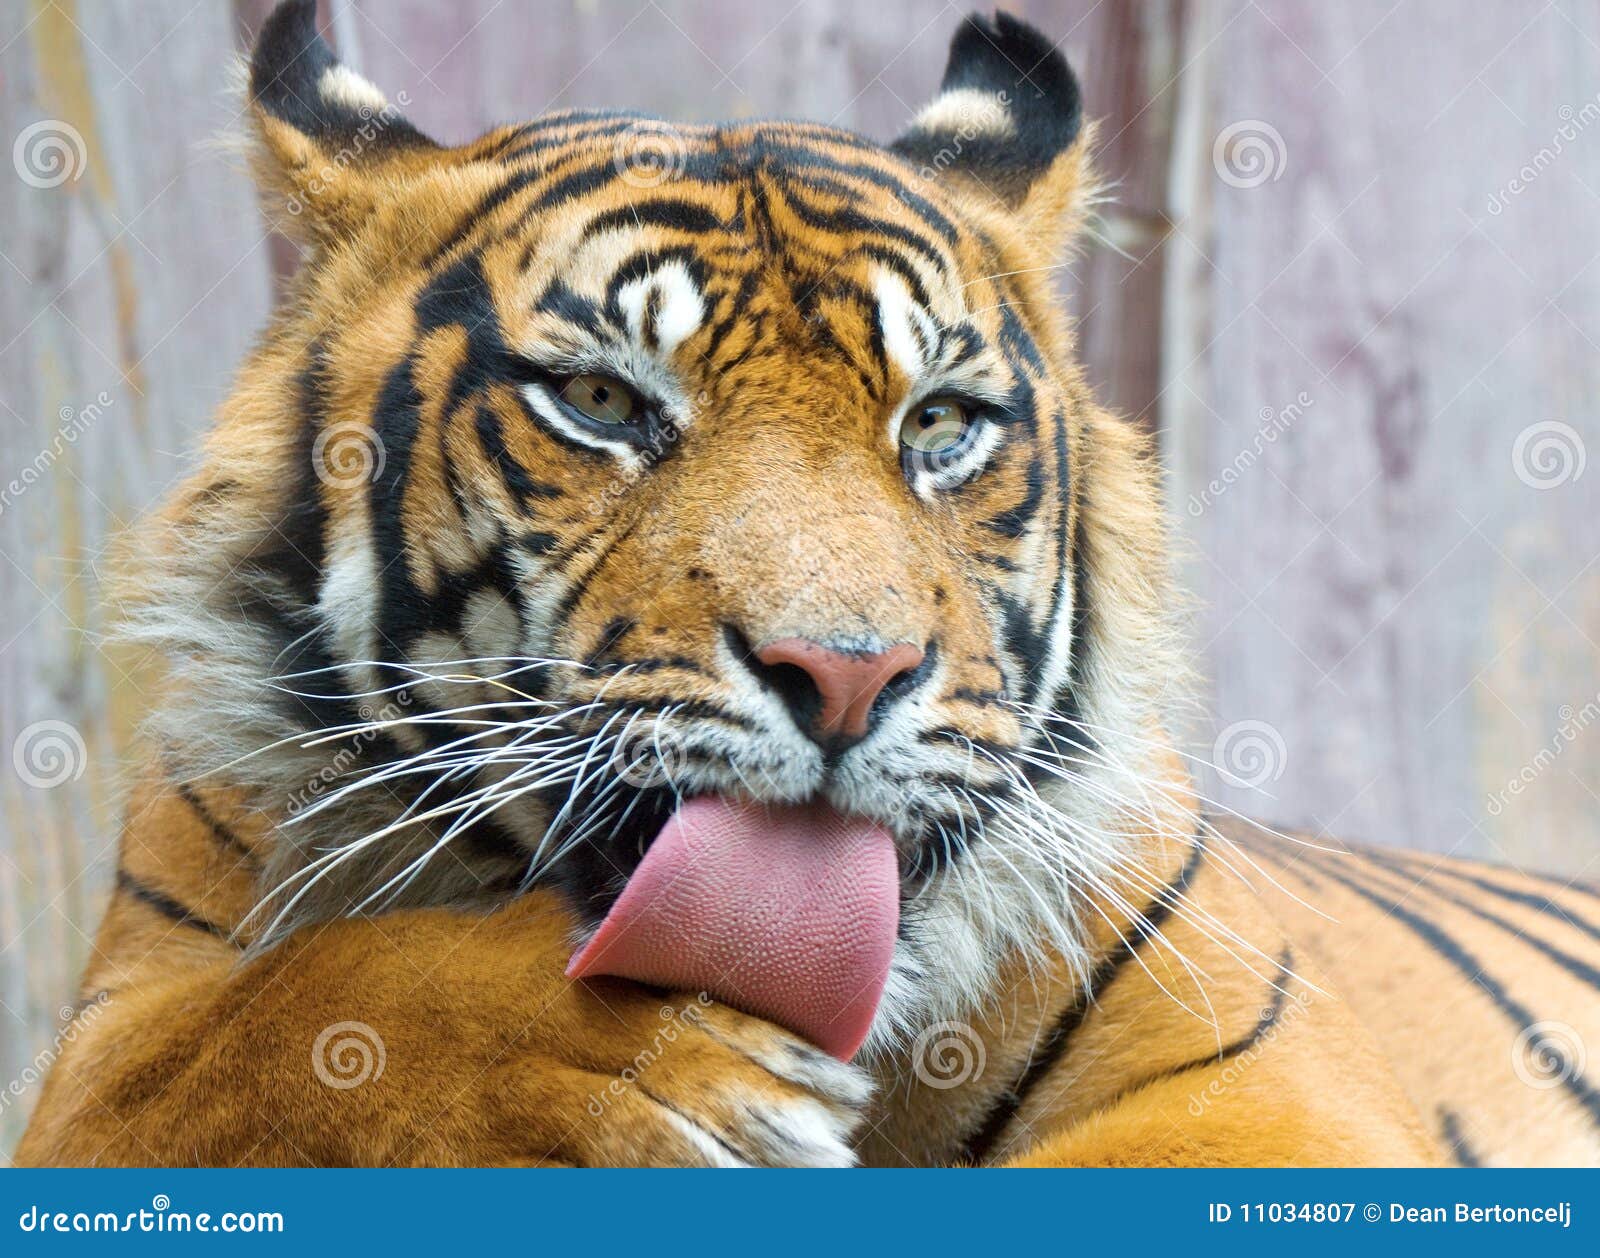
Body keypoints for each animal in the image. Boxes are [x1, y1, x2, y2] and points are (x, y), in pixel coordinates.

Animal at [16, 0, 1598, 1168]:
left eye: (939, 424)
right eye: (602, 399)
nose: (845, 674)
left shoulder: (1262, 1080)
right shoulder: (108, 1044)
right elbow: (289, 1016)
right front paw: (662, 1066)